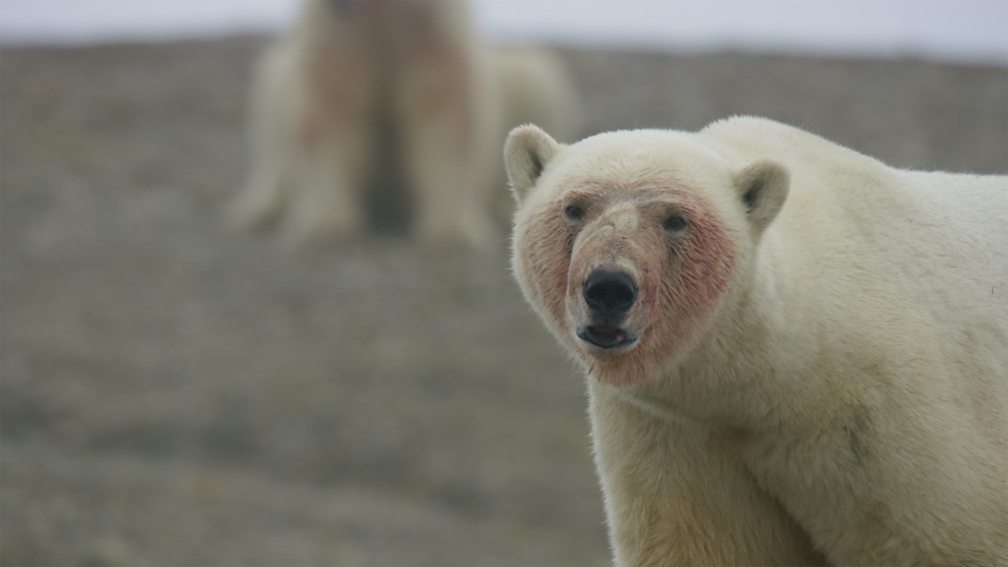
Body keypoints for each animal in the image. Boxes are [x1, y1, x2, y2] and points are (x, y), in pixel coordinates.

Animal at [231, 0, 578, 249]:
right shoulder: (334, 37)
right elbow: (329, 116)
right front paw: (325, 224)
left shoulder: (433, 37)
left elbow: (443, 121)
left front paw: (450, 230)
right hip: (274, 79)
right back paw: (255, 210)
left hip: (527, 76)